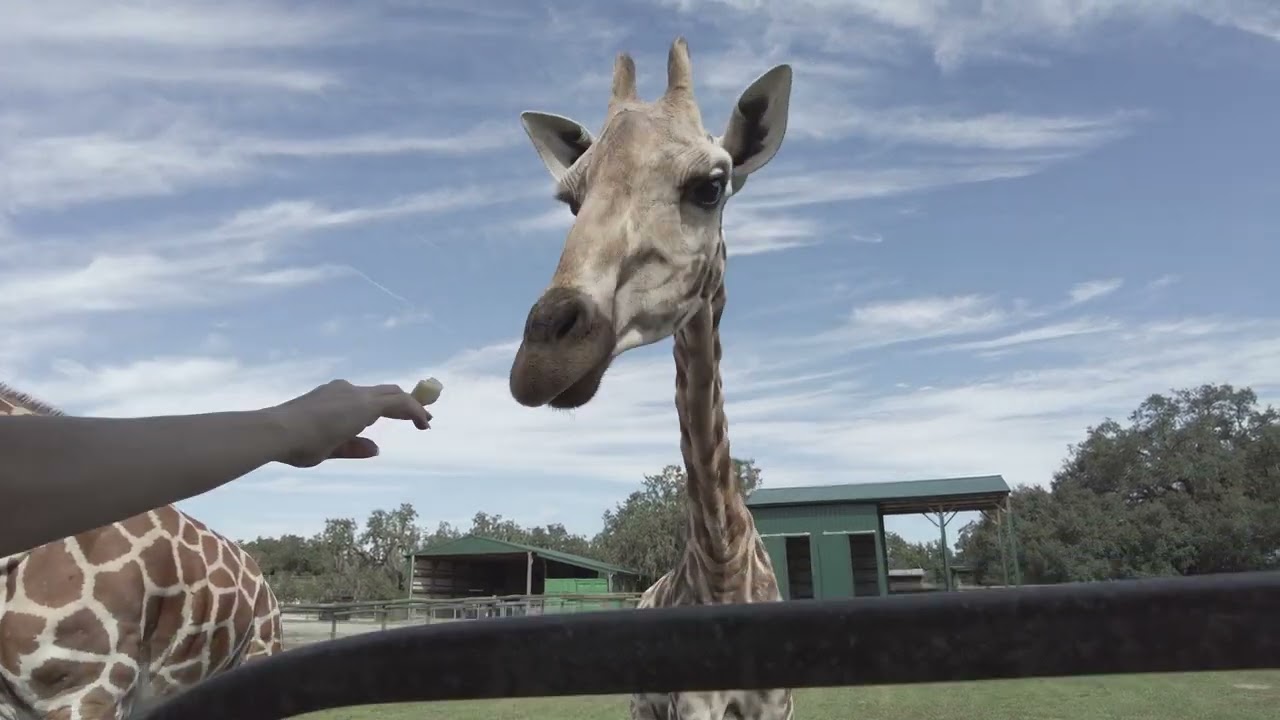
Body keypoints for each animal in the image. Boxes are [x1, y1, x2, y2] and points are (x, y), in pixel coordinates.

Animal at [507, 37, 794, 720]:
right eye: (572, 200)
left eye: (711, 187)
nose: (541, 362)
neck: (722, 566)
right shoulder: (690, 707)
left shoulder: (779, 706)